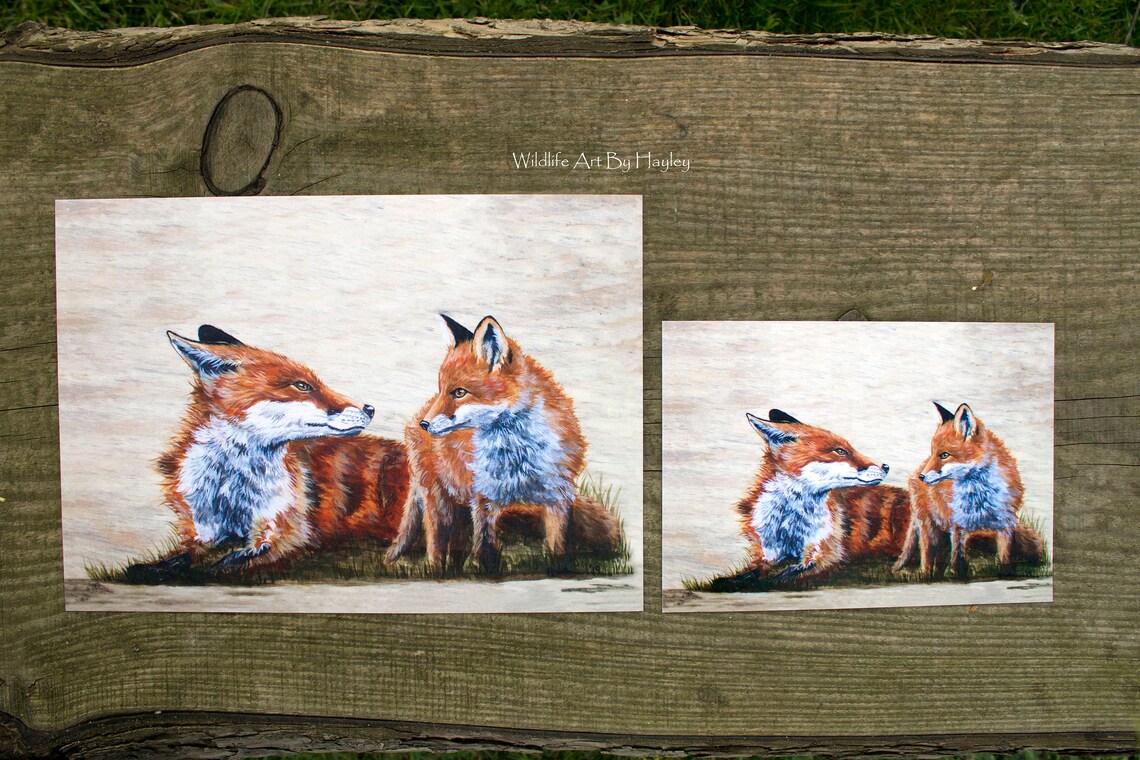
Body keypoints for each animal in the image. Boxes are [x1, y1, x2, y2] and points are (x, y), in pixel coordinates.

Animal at [137, 325, 408, 577]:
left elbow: (231, 563)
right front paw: (156, 568)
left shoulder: (289, 529)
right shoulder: (201, 525)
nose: (370, 409)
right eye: (302, 385)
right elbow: (181, 557)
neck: (230, 489)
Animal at [385, 315, 620, 574]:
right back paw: (436, 571)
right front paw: (483, 574)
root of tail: (416, 415)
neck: (519, 455)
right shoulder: (484, 498)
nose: (424, 424)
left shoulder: (558, 497)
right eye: (442, 390)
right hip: (440, 502)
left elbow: (557, 550)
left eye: (459, 392)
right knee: (437, 546)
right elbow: (484, 549)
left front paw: (557, 569)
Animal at [736, 410, 911, 580]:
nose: (886, 467)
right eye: (840, 451)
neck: (789, 523)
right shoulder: (767, 548)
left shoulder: (828, 551)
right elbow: (748, 574)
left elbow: (787, 575)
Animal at [894, 402, 1044, 579]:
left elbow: (1005, 561)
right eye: (932, 453)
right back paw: (925, 576)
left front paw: (1005, 574)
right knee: (927, 559)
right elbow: (957, 562)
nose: (921, 477)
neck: (981, 496)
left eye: (944, 455)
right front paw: (956, 578)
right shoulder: (959, 526)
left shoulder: (1005, 526)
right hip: (930, 530)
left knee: (939, 562)